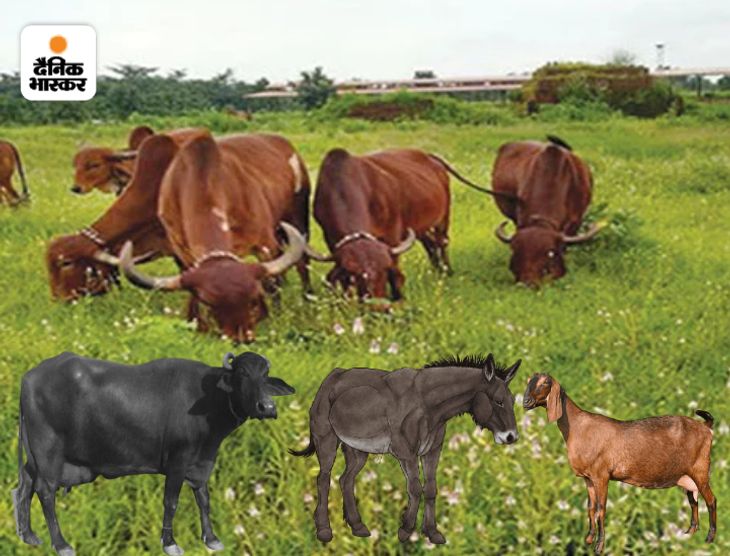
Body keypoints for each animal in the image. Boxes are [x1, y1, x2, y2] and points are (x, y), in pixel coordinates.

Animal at [13, 350, 295, 556]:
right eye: (243, 374)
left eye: (266, 375)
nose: (267, 407)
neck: (210, 399)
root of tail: (28, 377)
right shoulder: (178, 462)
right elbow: (171, 502)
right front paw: (169, 542)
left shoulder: (202, 463)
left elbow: (204, 499)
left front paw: (211, 538)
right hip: (48, 452)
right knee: (45, 491)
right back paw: (61, 544)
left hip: (34, 457)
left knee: (24, 486)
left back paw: (28, 534)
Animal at [118, 131, 312, 343]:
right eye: (209, 304)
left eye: (253, 300)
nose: (241, 339)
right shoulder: (181, 250)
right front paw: (196, 323)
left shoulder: (265, 244)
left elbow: (272, 284)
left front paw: (274, 315)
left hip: (297, 218)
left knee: (302, 263)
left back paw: (308, 296)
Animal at [522, 373, 716, 554]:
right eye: (528, 381)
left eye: (545, 383)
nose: (525, 402)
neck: (577, 427)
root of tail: (706, 427)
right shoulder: (588, 478)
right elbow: (590, 508)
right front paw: (588, 539)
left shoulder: (601, 475)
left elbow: (600, 509)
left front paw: (599, 547)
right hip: (687, 476)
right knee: (693, 501)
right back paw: (690, 532)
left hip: (700, 469)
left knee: (711, 500)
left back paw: (709, 538)